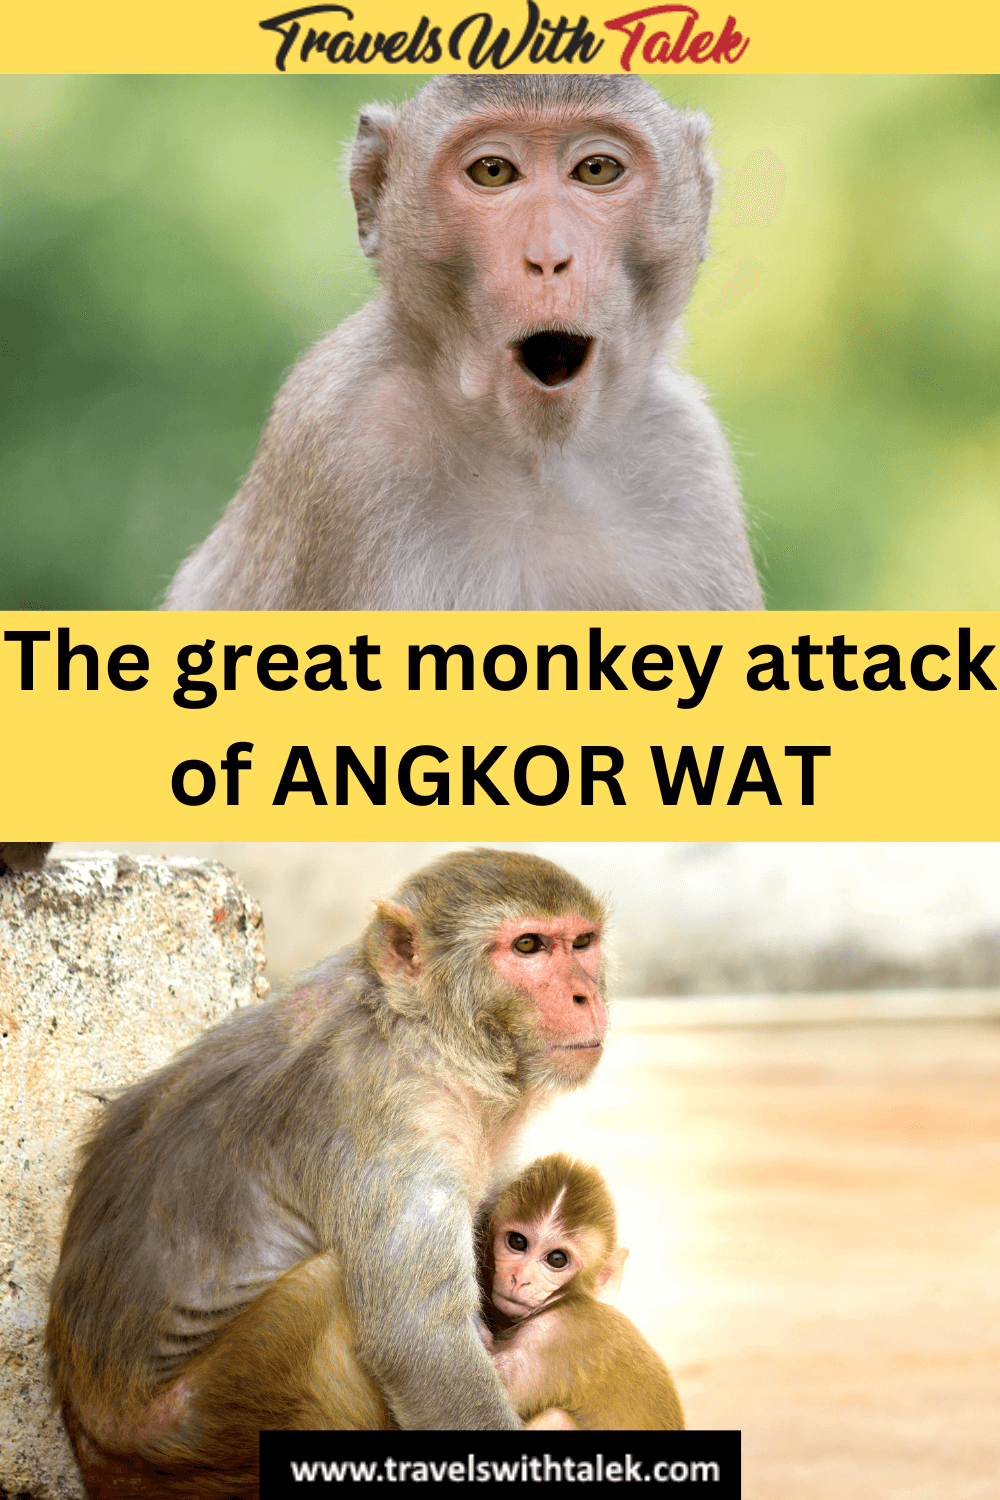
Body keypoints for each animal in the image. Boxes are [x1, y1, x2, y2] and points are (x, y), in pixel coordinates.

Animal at [47, 848, 611, 1496]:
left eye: (583, 943)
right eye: (528, 946)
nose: (584, 995)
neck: (424, 1032)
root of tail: (95, 1454)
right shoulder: (398, 1125)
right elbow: (423, 1348)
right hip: (213, 1428)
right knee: (325, 1290)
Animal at [164, 76, 762, 612]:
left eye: (597, 170)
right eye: (492, 171)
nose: (549, 257)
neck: (531, 461)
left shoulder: (685, 457)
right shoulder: (346, 443)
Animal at [478, 1154, 685, 1431]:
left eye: (557, 1259)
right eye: (517, 1242)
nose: (520, 1279)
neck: (563, 1301)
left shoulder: (553, 1336)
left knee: (557, 1417)